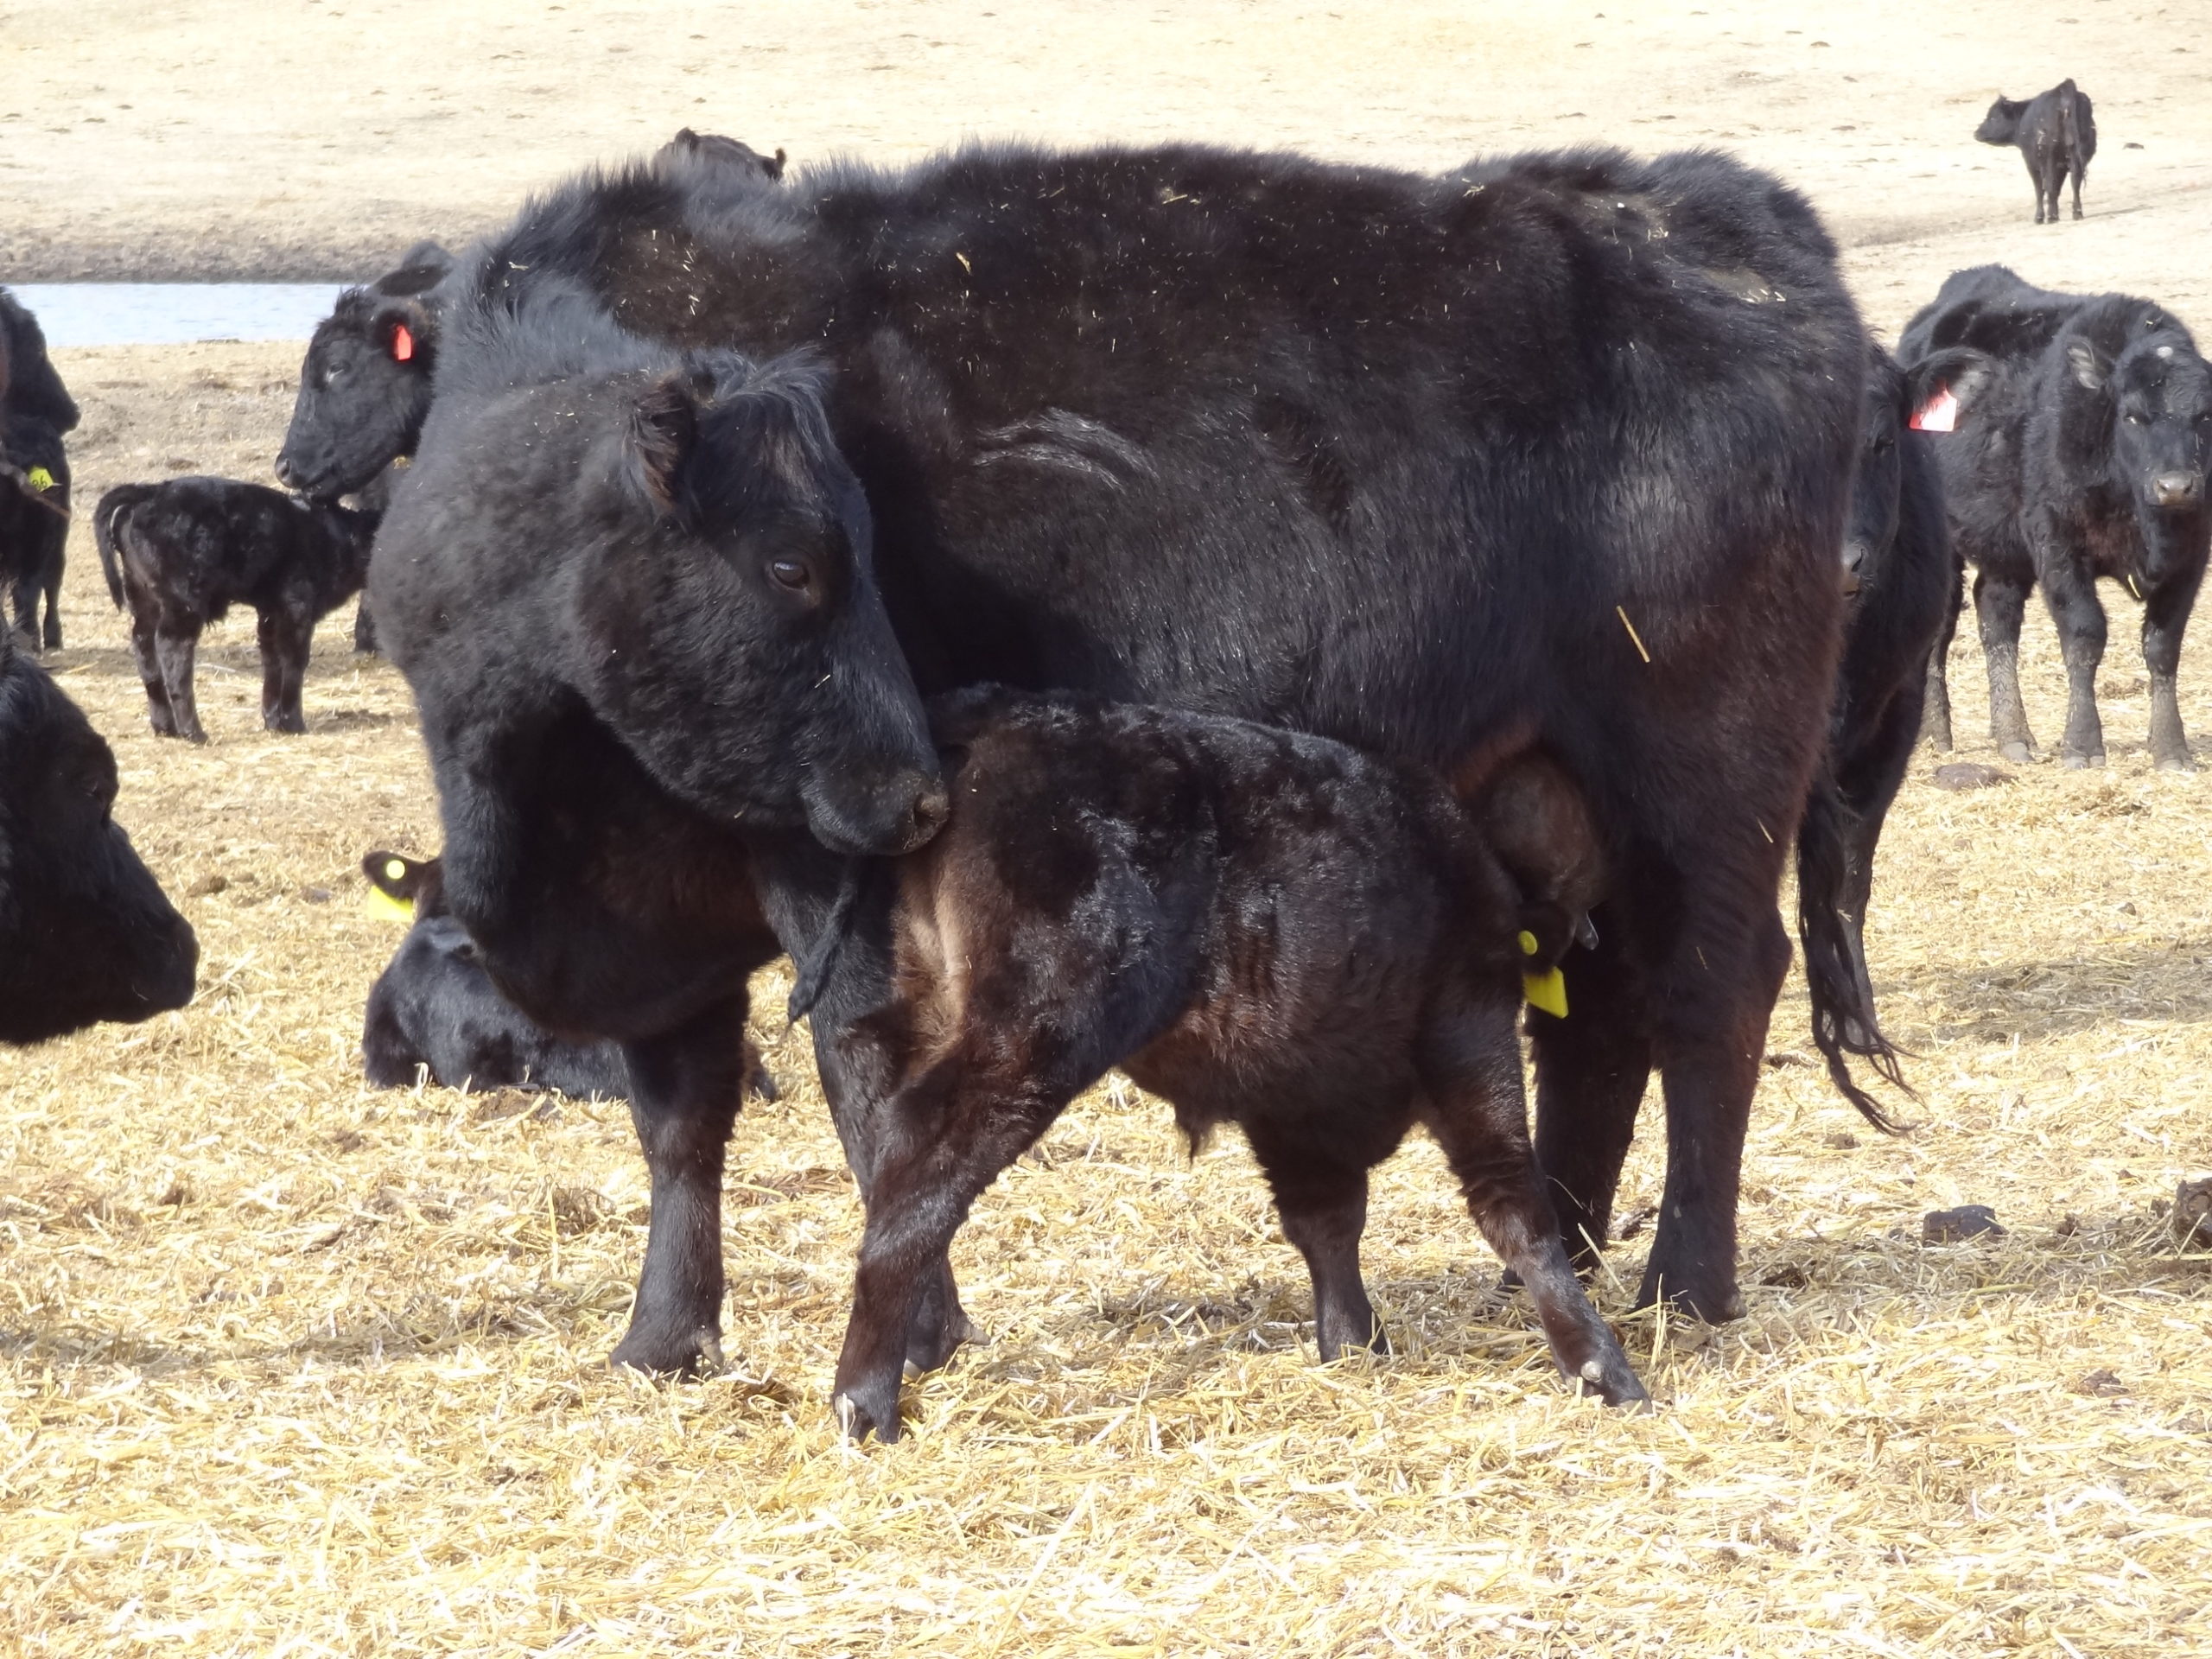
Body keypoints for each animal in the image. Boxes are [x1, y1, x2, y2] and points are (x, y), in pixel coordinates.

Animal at [92, 477, 382, 742]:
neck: (337, 537)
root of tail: (151, 490)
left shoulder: (270, 613)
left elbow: (272, 663)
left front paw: (272, 721)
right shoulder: (297, 609)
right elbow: (294, 663)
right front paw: (293, 723)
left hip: (142, 597)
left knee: (144, 650)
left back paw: (165, 727)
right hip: (183, 602)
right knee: (172, 652)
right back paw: (193, 732)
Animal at [758, 687, 1649, 1439]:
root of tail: (994, 715)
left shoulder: (1295, 1097)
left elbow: (1327, 1220)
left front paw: (1353, 1346)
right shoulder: (1466, 1032)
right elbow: (1516, 1207)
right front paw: (1605, 1370)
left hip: (918, 1009)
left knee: (879, 1134)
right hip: (1033, 1032)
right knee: (920, 1164)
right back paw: (866, 1401)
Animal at [1905, 266, 2212, 771]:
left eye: (2205, 415)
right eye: (2131, 416)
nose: (2176, 486)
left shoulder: (2191, 557)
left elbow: (2163, 647)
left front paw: (2170, 747)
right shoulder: (2058, 544)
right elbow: (2085, 634)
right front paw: (2082, 744)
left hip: (2004, 548)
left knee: (1997, 615)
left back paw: (2013, 735)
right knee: (1940, 626)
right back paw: (1935, 733)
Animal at [1975, 80, 2097, 225]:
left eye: (1992, 117)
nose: (1976, 133)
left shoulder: (2032, 162)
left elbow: (2040, 189)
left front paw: (2040, 217)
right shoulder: (2061, 166)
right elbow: (2057, 189)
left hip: (2049, 157)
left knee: (2050, 184)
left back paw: (2051, 217)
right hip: (2078, 154)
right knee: (2075, 181)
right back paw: (2076, 213)